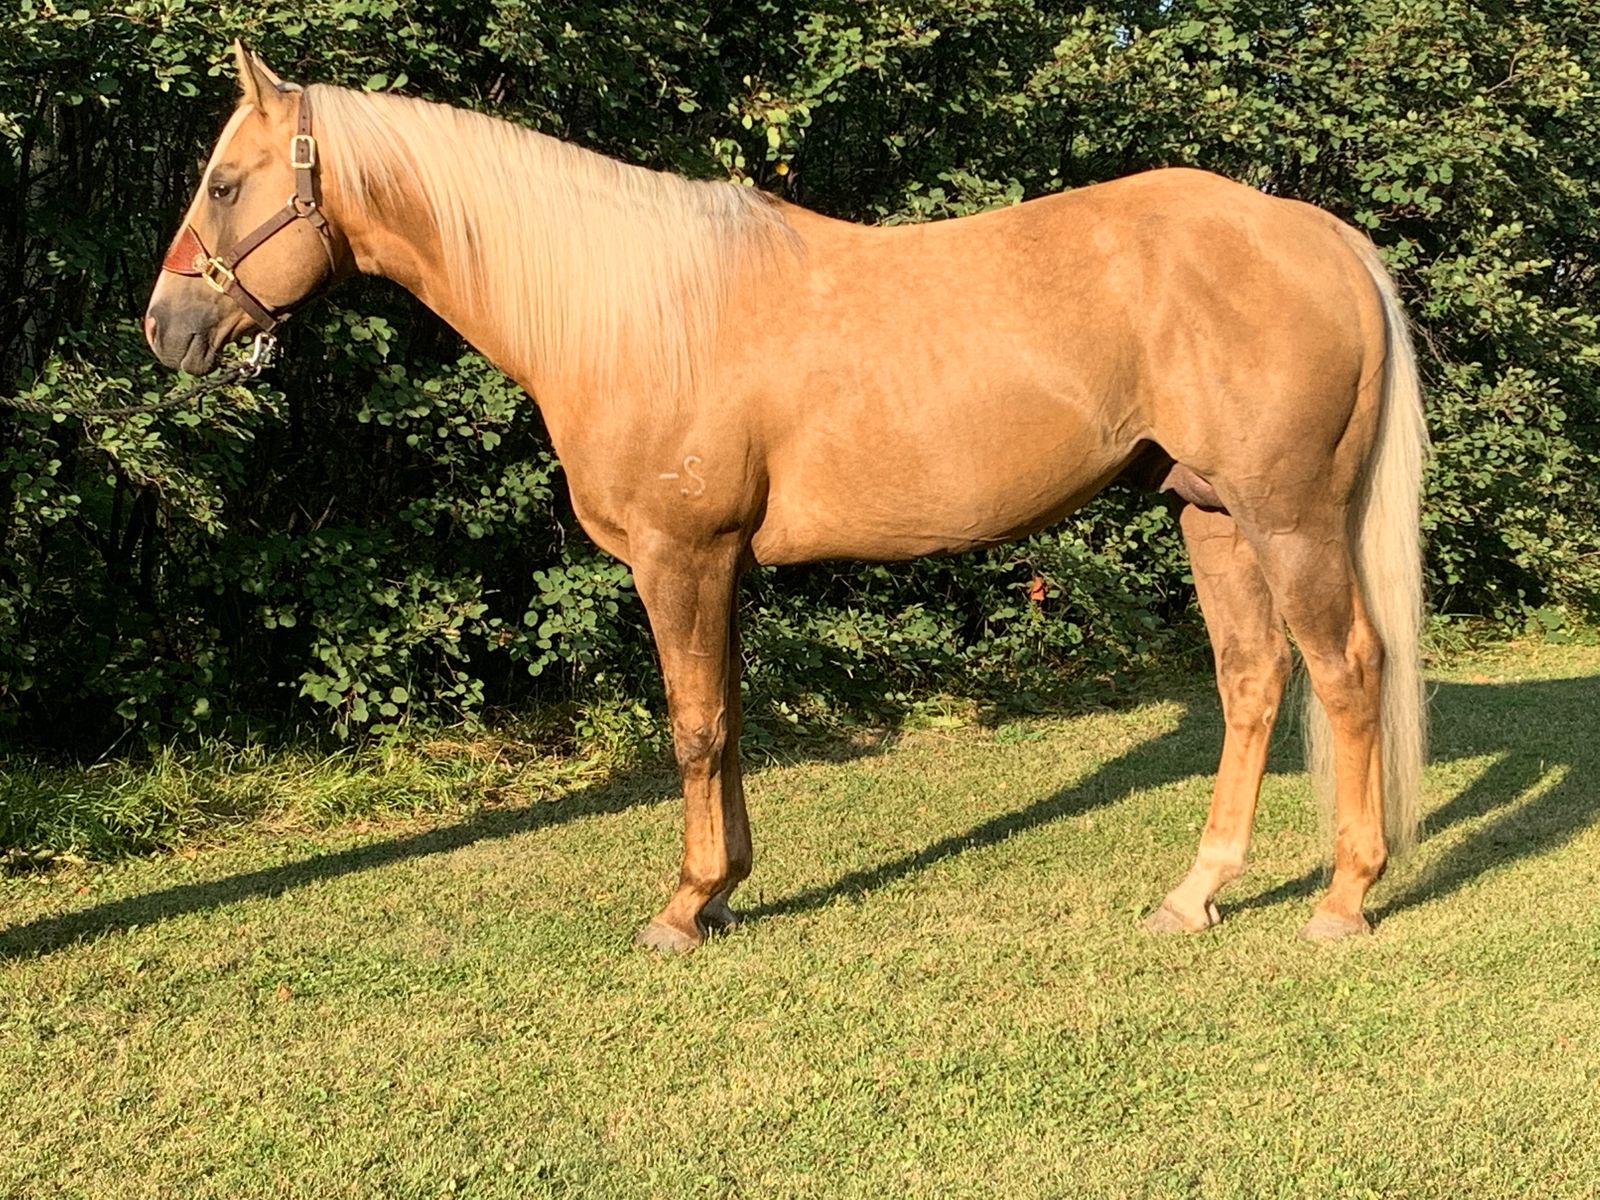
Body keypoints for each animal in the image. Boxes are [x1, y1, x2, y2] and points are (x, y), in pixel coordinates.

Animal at [144, 44, 1427, 952]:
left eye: (223, 180)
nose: (167, 328)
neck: (636, 309)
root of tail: (1317, 235)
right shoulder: (718, 567)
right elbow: (727, 720)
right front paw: (723, 892)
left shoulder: (680, 555)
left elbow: (693, 726)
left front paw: (683, 906)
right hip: (1210, 514)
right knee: (1253, 680)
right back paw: (1194, 893)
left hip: (1286, 517)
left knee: (1346, 670)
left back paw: (1343, 897)